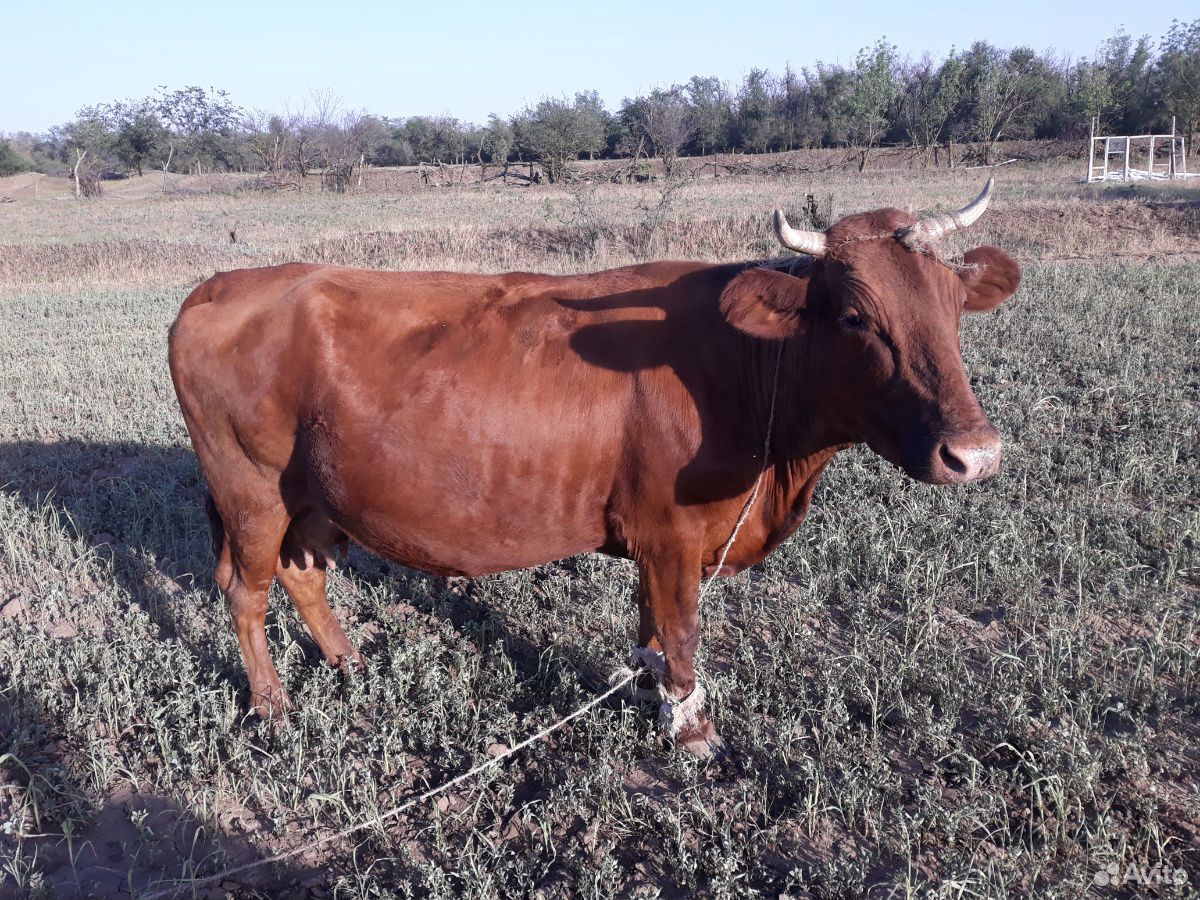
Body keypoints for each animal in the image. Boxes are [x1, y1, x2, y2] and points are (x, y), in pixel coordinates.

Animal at [168, 180, 1020, 758]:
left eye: (952, 307)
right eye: (854, 316)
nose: (974, 454)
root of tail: (226, 283)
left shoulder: (655, 538)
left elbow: (649, 624)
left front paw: (650, 693)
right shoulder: (673, 533)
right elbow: (681, 629)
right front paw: (695, 730)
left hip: (308, 495)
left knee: (302, 572)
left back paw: (348, 660)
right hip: (249, 488)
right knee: (246, 589)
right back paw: (271, 704)